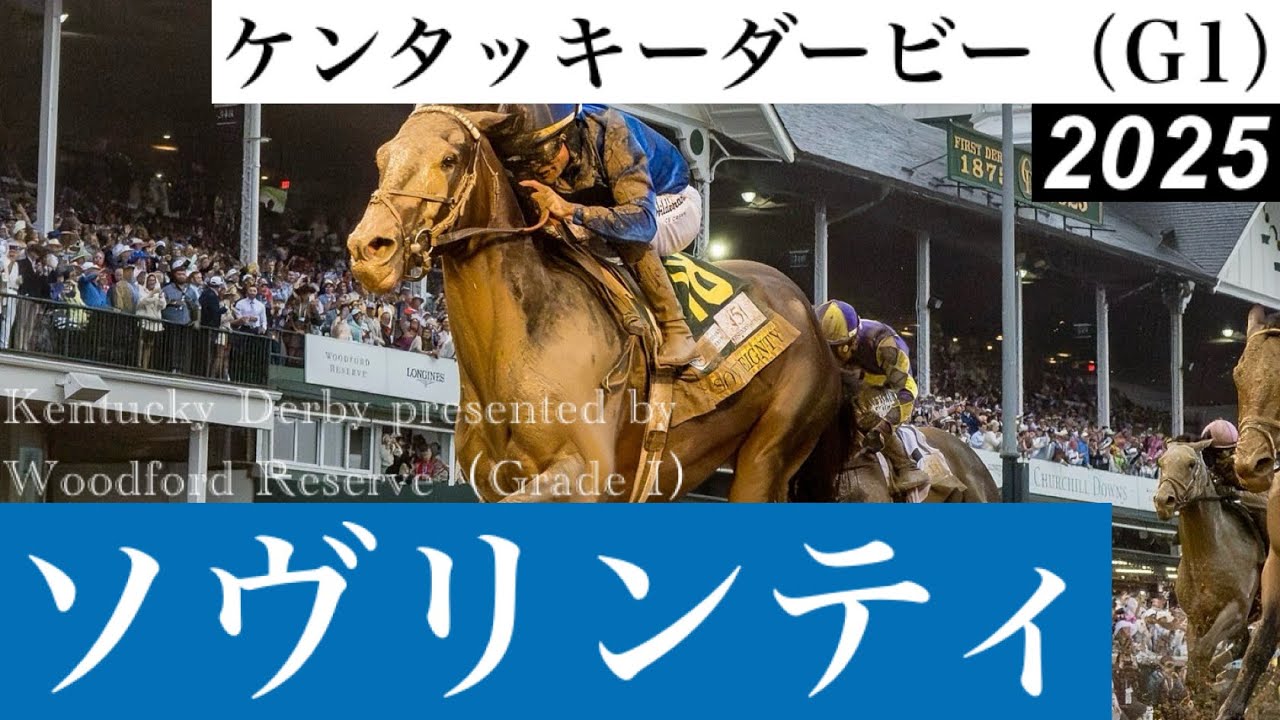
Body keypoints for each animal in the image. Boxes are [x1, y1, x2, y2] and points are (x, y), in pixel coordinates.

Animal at [345, 106, 842, 503]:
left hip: (769, 450)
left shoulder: (583, 473)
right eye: (382, 157)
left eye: (448, 159)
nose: (368, 248)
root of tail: (808, 309)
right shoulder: (493, 481)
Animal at [1153, 441, 1264, 712]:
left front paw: (1210, 691)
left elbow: (1203, 653)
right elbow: (1195, 662)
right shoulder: (1196, 618)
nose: (1163, 501)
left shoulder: (1236, 612)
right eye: (1161, 462)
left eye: (1191, 463)